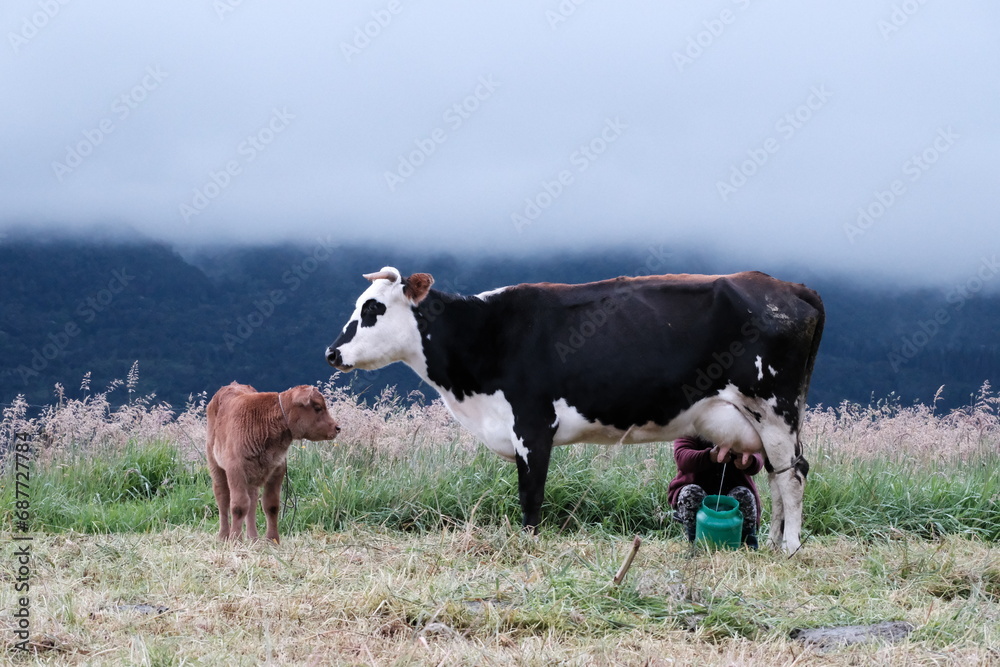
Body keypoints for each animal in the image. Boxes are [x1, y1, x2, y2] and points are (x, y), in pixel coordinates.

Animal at [206, 382, 341, 543]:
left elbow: (271, 505)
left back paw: (253, 537)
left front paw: (273, 540)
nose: (337, 428)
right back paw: (224, 535)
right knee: (223, 497)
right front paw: (235, 540)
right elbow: (238, 506)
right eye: (318, 407)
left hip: (252, 476)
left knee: (252, 501)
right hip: (215, 464)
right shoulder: (235, 469)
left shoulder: (278, 468)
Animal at [325, 267, 824, 554]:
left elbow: (530, 495)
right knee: (778, 477)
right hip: (766, 419)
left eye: (373, 309)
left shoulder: (532, 425)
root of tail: (788, 287)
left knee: (793, 476)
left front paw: (528, 545)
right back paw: (770, 542)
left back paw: (790, 547)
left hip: (775, 409)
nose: (332, 353)